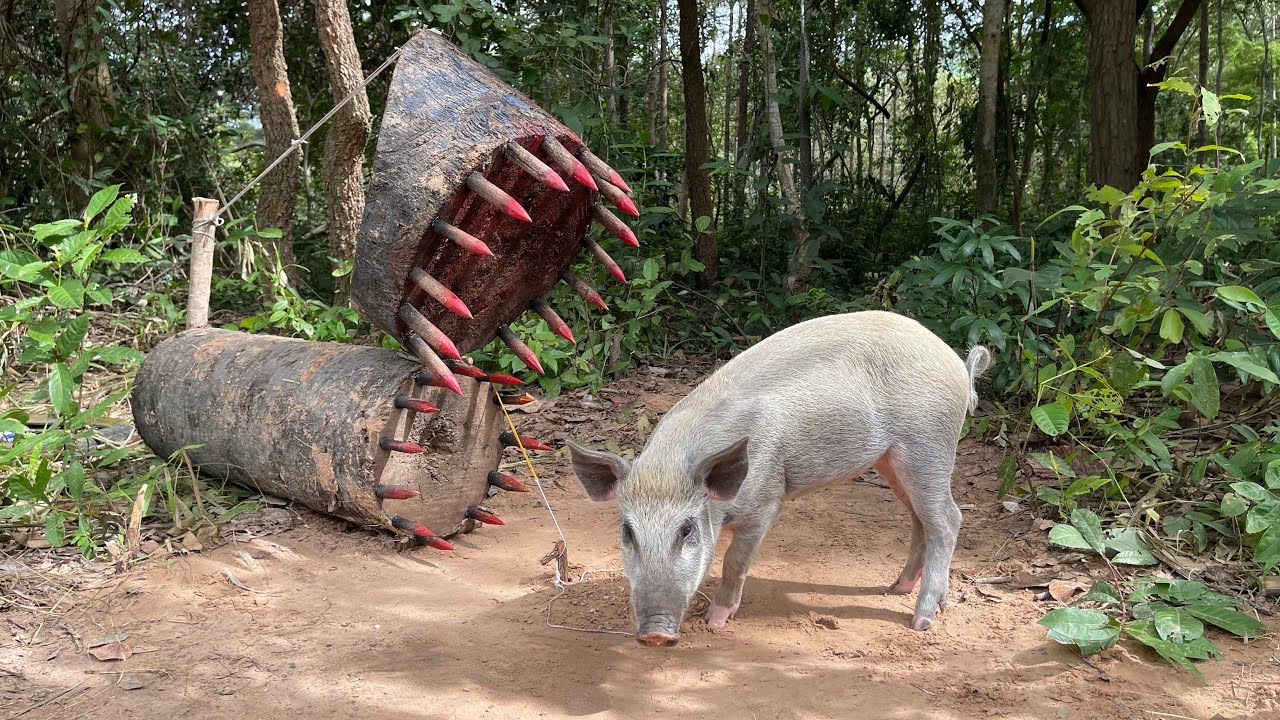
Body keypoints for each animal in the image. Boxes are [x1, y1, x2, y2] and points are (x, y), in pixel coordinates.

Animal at [567, 310, 991, 646]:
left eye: (687, 530)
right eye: (627, 532)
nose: (655, 633)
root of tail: (957, 364)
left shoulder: (766, 500)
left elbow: (734, 561)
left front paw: (716, 622)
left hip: (929, 445)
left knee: (948, 519)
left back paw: (922, 620)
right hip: (893, 461)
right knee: (922, 519)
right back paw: (895, 588)